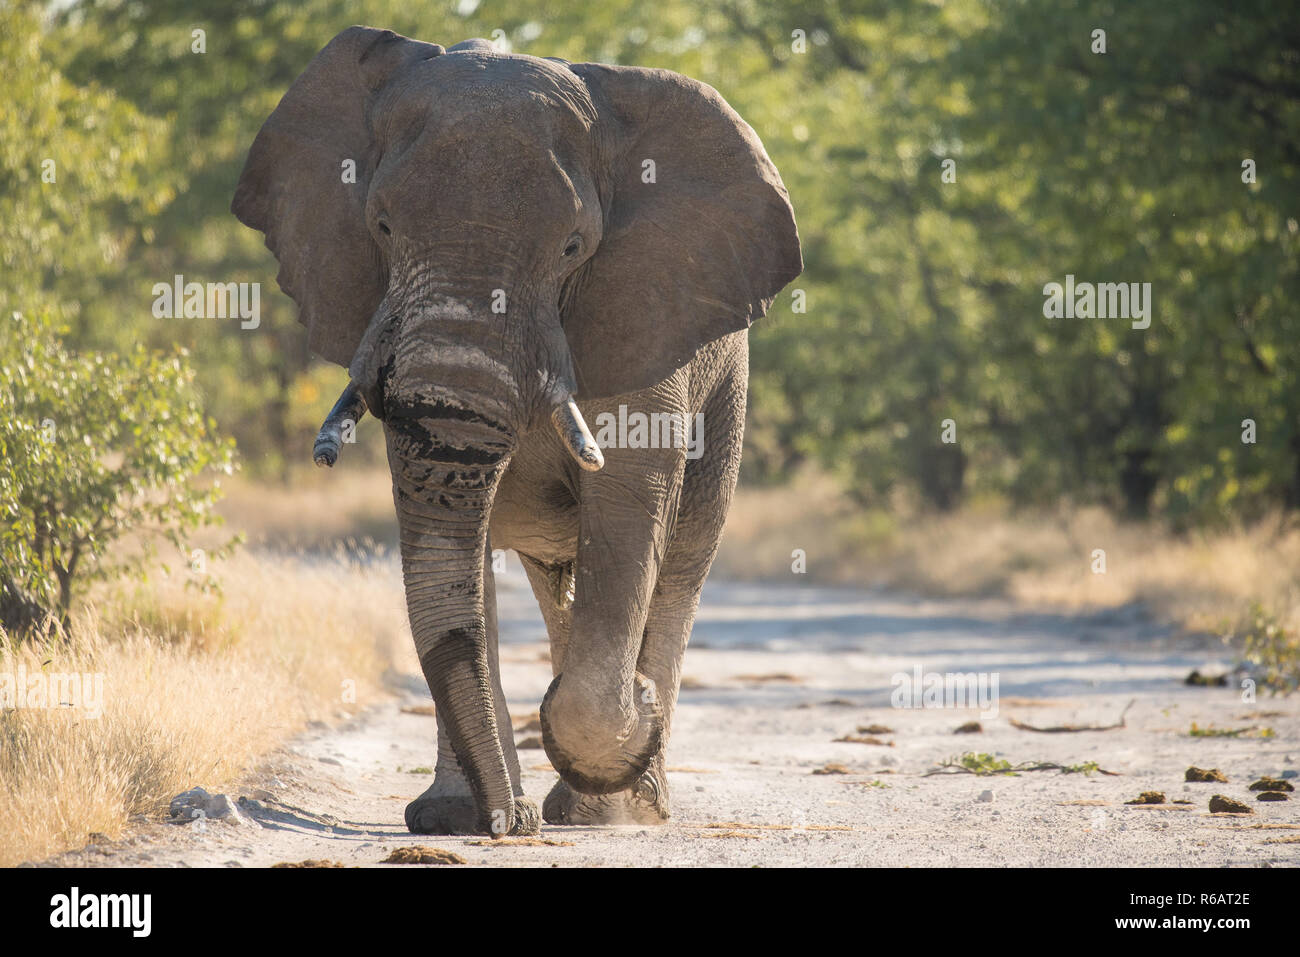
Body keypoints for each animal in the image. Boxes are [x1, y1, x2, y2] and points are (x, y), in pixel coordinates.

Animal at [232, 26, 801, 837]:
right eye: (381, 227)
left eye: (574, 246)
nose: (506, 825)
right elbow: (455, 550)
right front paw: (458, 819)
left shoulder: (643, 309)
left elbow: (628, 508)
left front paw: (623, 731)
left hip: (726, 392)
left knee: (682, 557)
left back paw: (629, 798)